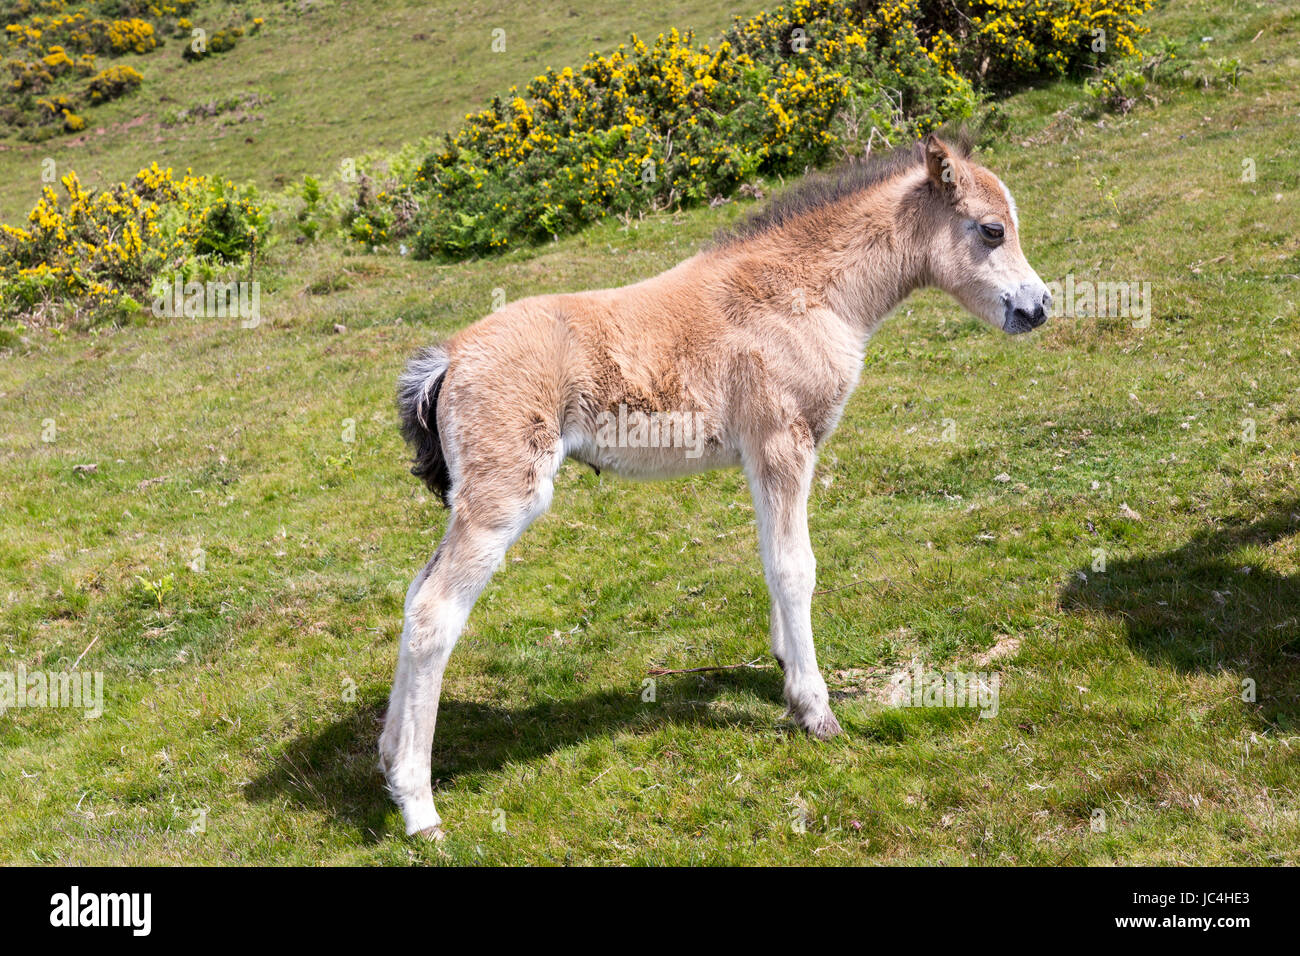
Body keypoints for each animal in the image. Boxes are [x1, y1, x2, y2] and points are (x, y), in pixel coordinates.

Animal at [378, 133, 1052, 838]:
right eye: (993, 230)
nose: (1039, 307)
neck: (806, 290)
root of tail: (449, 359)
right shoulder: (783, 443)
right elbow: (795, 567)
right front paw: (816, 711)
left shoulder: (761, 457)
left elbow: (771, 560)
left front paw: (785, 667)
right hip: (506, 495)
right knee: (433, 613)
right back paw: (419, 807)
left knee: (415, 593)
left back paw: (389, 761)